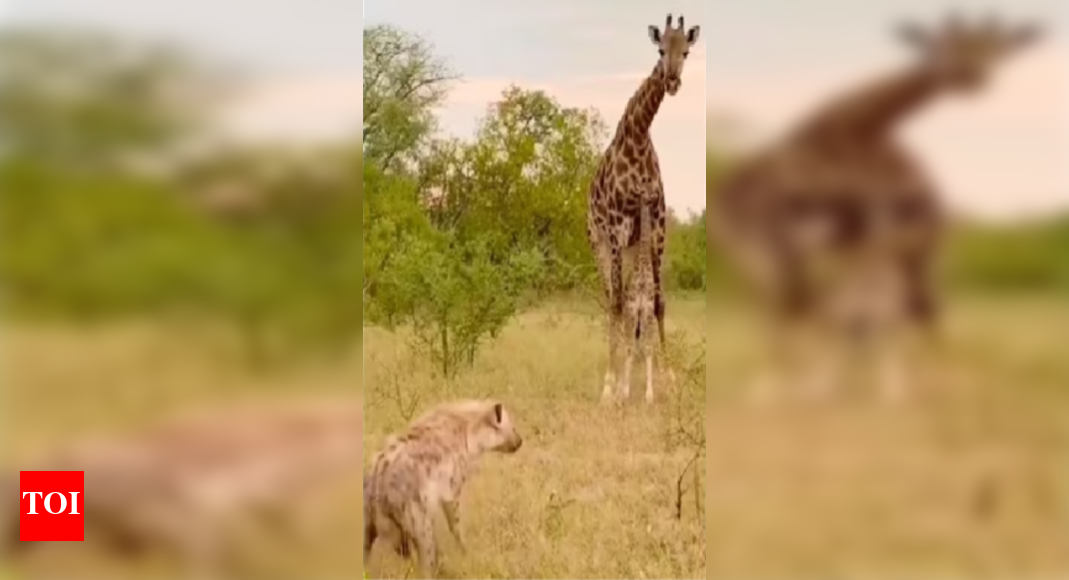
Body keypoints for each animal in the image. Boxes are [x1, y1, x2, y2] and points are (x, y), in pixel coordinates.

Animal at [587, 14, 700, 403]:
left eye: (686, 51)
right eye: (660, 49)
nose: (673, 81)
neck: (638, 136)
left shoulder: (658, 222)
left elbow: (658, 302)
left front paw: (668, 378)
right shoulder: (617, 228)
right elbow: (619, 304)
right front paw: (610, 386)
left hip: (633, 243)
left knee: (629, 300)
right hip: (600, 242)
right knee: (612, 299)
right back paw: (614, 378)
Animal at [710, 13, 1041, 403]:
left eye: (993, 49)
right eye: (943, 48)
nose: (974, 79)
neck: (856, 131)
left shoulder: (869, 234)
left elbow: (872, 311)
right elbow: (845, 309)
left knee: (874, 306)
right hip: (765, 252)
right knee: (796, 304)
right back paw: (785, 384)